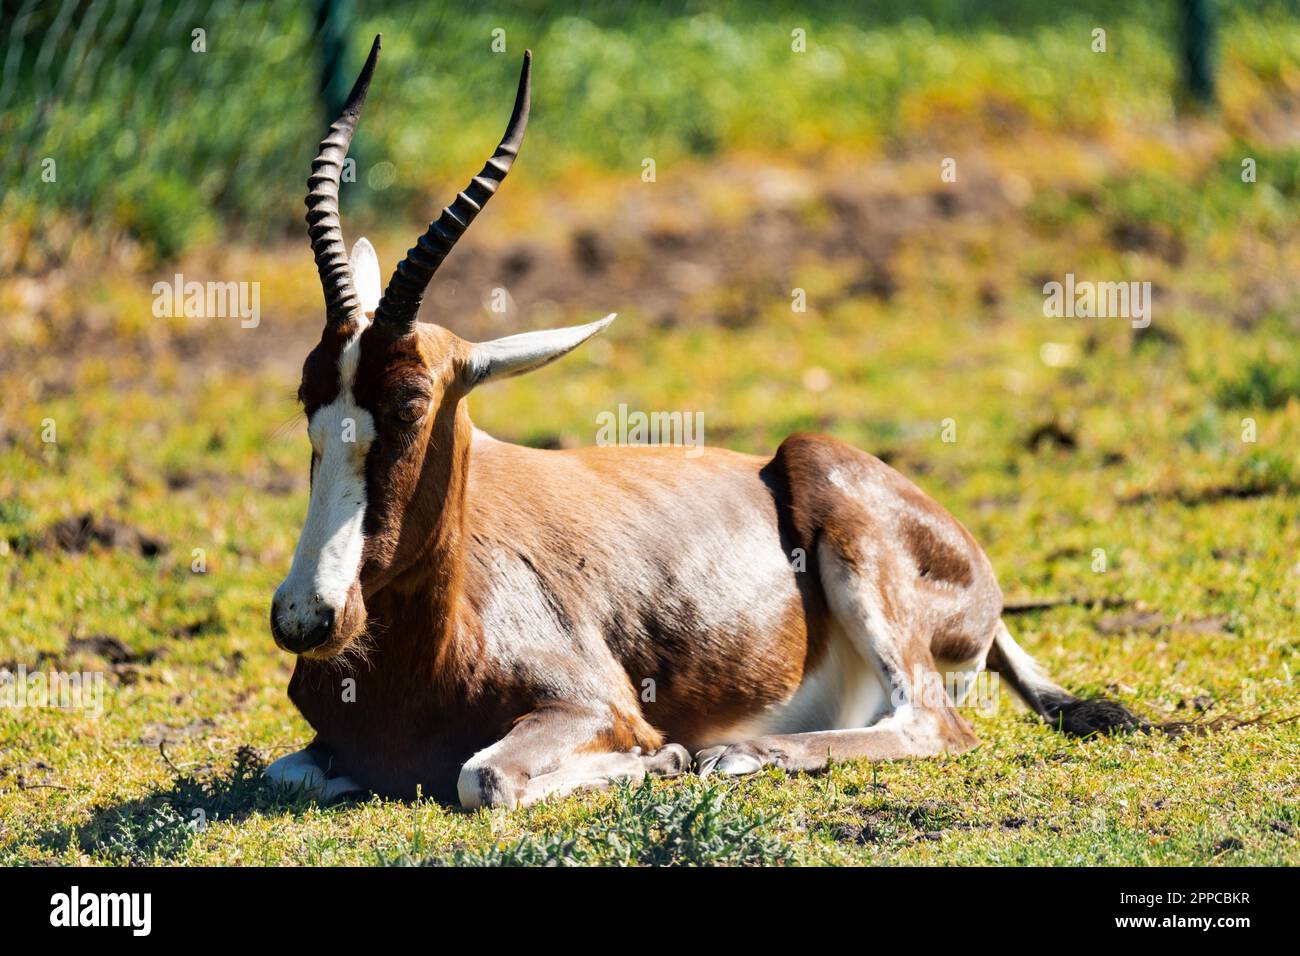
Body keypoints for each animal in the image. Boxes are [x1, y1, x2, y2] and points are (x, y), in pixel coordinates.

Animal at [266, 35, 1145, 809]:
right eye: (308, 394)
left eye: (411, 402)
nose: (306, 617)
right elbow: (292, 772)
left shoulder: (591, 707)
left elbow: (484, 776)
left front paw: (662, 760)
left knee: (933, 725)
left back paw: (734, 752)